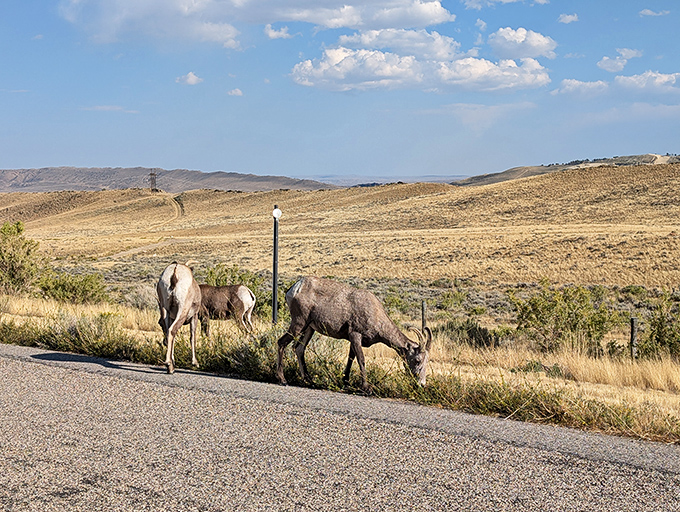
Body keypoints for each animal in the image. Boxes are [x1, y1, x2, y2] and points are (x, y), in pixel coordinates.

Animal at [276, 276, 432, 391]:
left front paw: (345, 382)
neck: (375, 314)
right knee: (281, 343)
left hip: (309, 328)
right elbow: (361, 359)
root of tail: (294, 289)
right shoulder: (355, 335)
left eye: (426, 361)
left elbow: (350, 359)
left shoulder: (353, 340)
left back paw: (309, 381)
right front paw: (366, 388)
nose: (422, 384)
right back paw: (283, 380)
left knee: (299, 349)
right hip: (299, 323)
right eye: (417, 360)